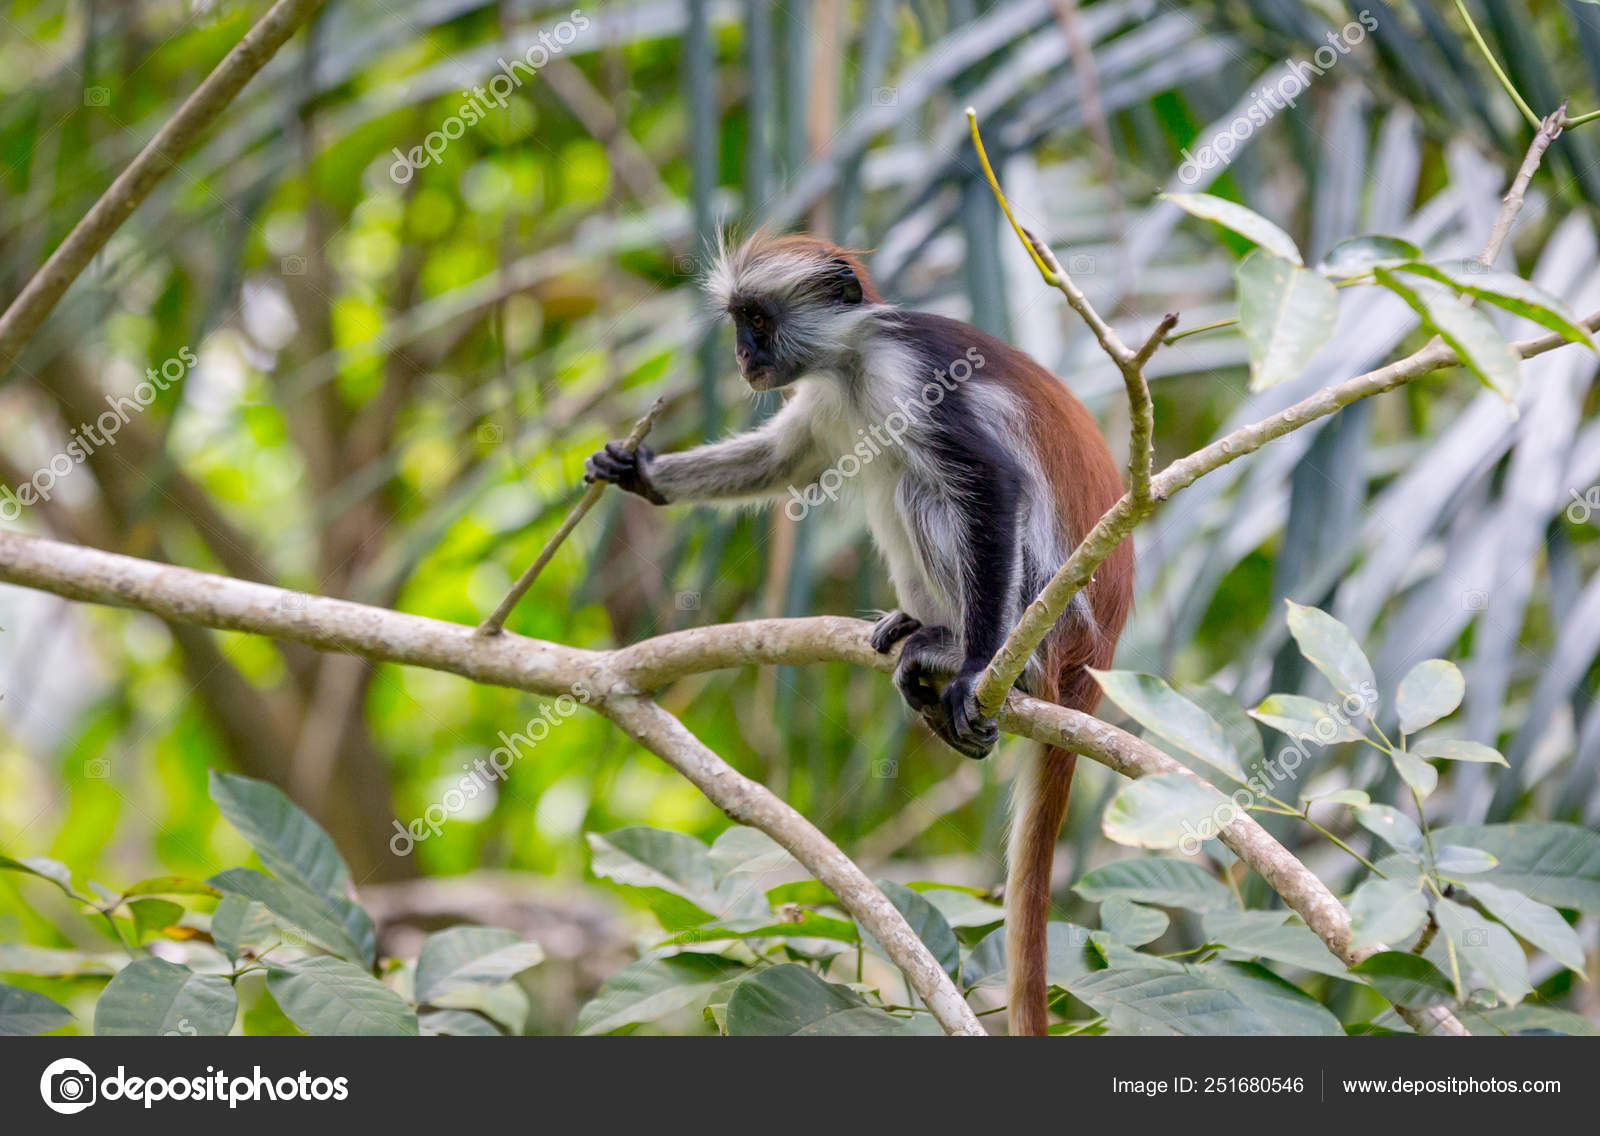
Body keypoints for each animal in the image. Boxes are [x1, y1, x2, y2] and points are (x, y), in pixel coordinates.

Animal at [584, 232, 1133, 1035]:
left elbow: (991, 482)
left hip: (1044, 602)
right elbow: (787, 456)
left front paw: (974, 667)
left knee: (920, 482)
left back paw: (965, 653)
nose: (743, 357)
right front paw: (639, 471)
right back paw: (921, 629)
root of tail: (1092, 658)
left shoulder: (906, 374)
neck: (849, 360)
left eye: (758, 320)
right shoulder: (823, 390)